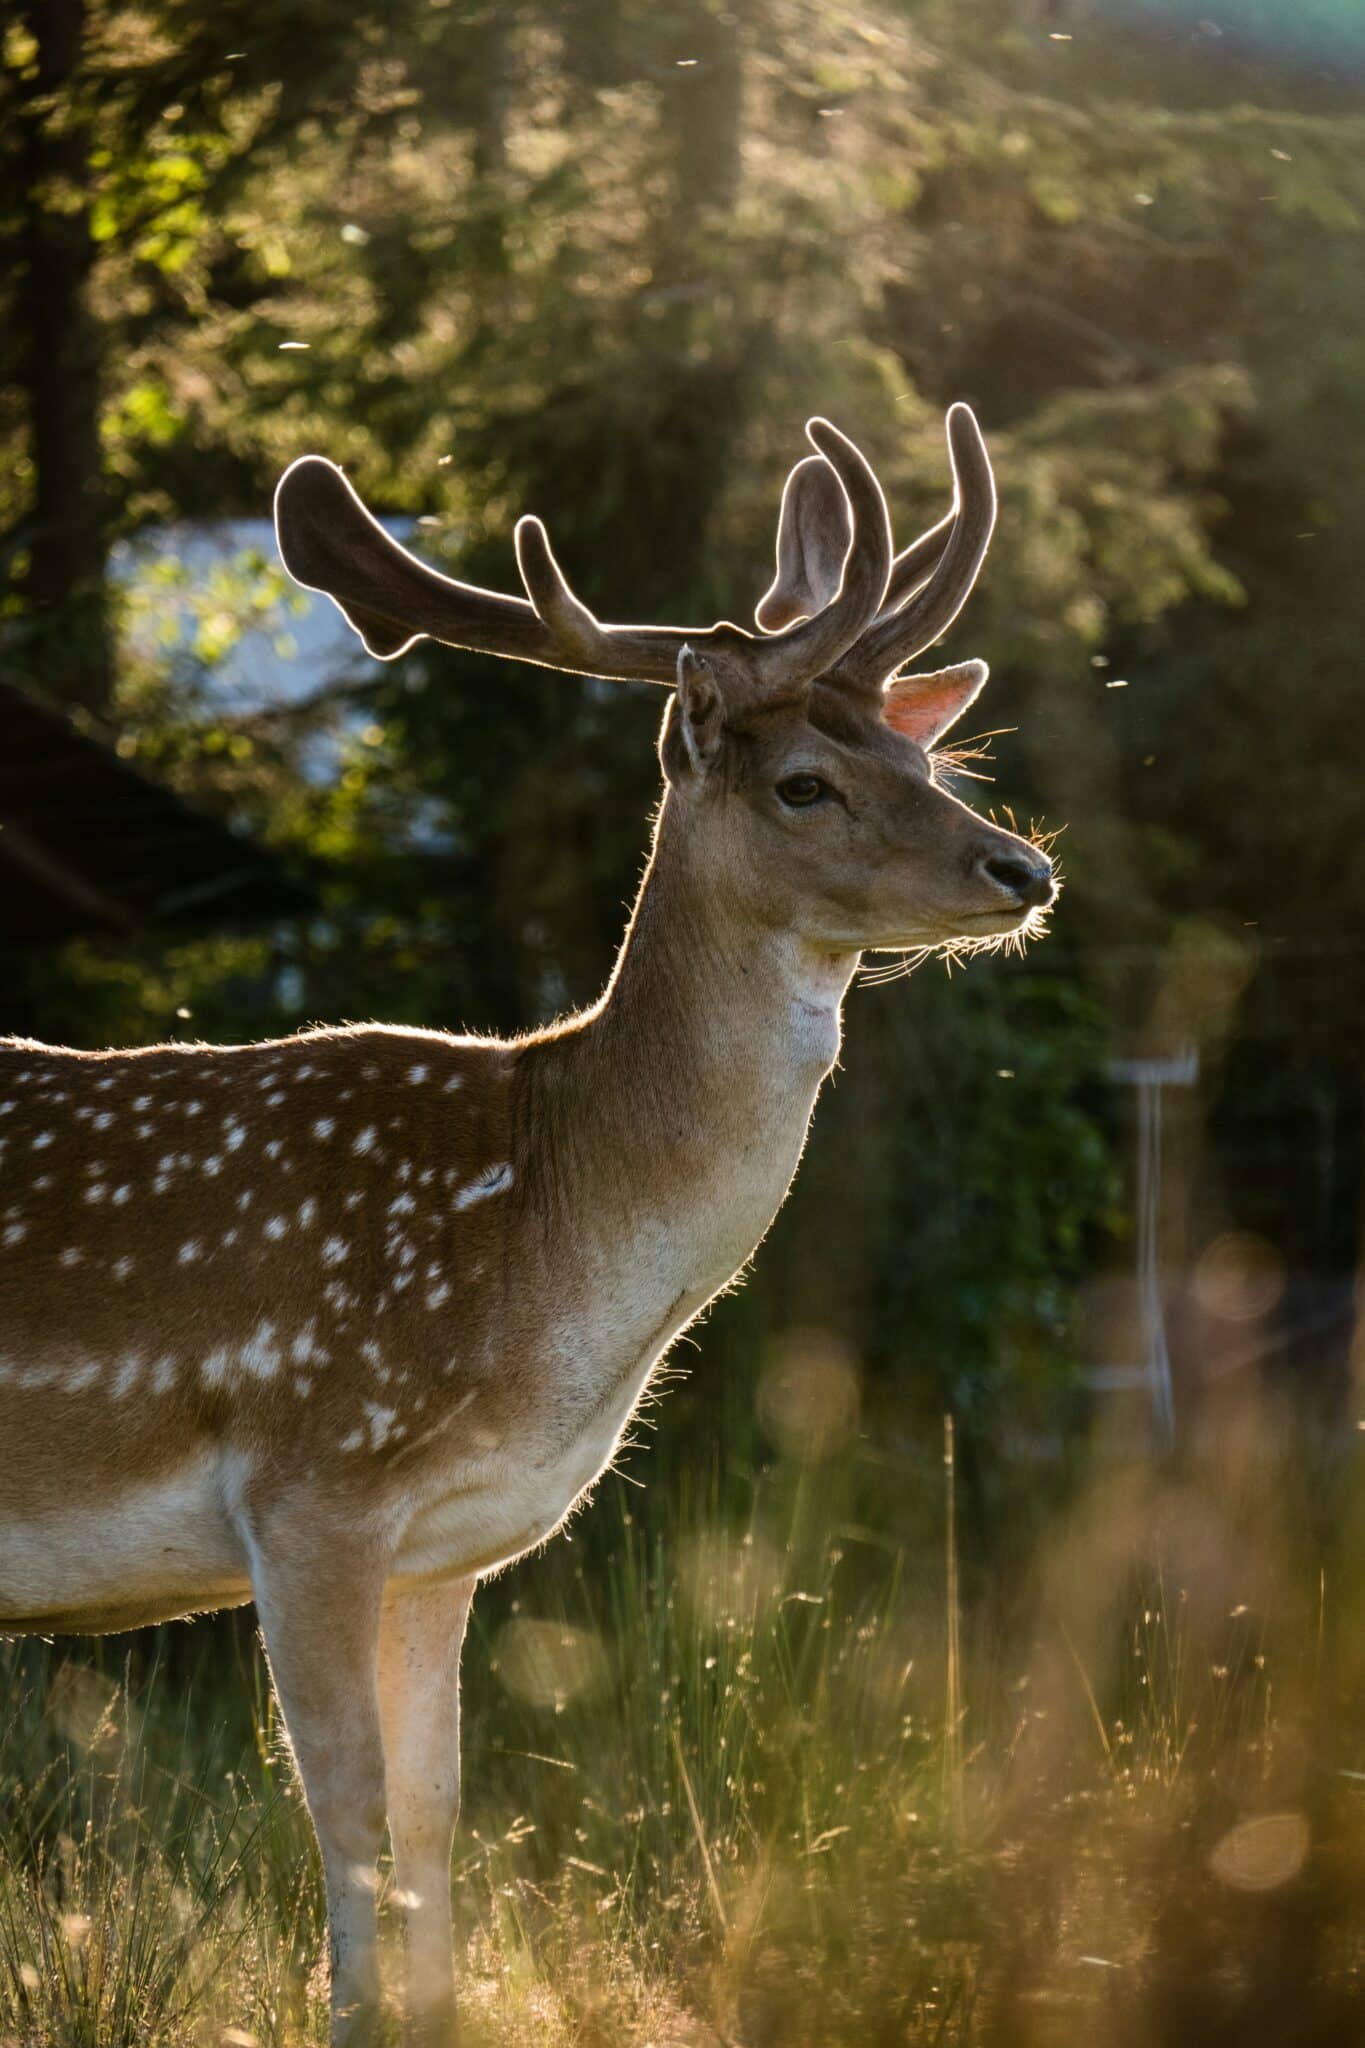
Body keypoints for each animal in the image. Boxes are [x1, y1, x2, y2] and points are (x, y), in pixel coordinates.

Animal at [0, 402, 1054, 2045]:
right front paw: (348, 2012)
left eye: (921, 750)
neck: (542, 1268)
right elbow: (349, 1813)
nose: (1023, 868)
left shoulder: (446, 1548)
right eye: (801, 782)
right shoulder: (309, 1479)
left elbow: (439, 1813)